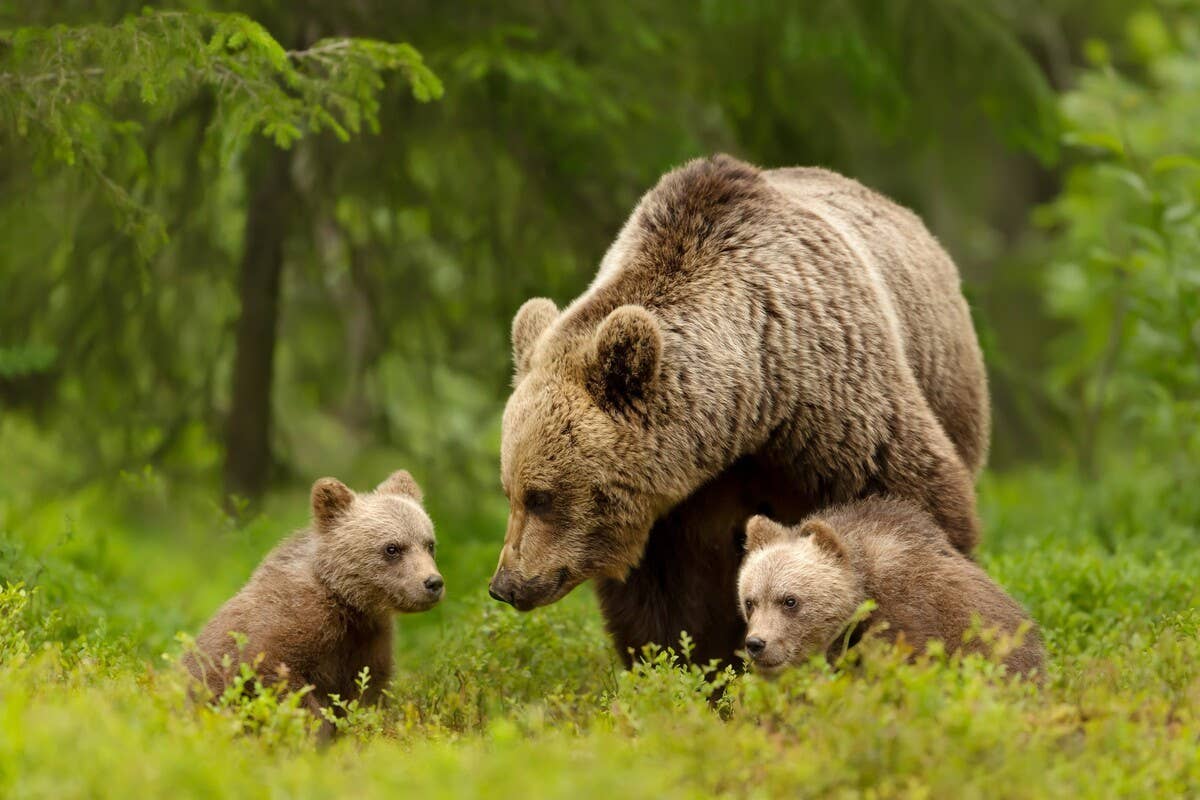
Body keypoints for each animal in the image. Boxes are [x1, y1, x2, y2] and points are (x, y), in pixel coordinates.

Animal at [185, 470, 444, 717]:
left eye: (429, 544)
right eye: (392, 548)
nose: (433, 582)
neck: (348, 602)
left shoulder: (368, 639)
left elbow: (370, 689)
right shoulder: (297, 619)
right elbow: (274, 669)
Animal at [489, 154, 989, 667]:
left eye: (541, 496)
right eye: (510, 490)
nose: (505, 585)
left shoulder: (838, 409)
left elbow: (908, 499)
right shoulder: (678, 506)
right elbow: (671, 599)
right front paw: (687, 665)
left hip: (945, 378)